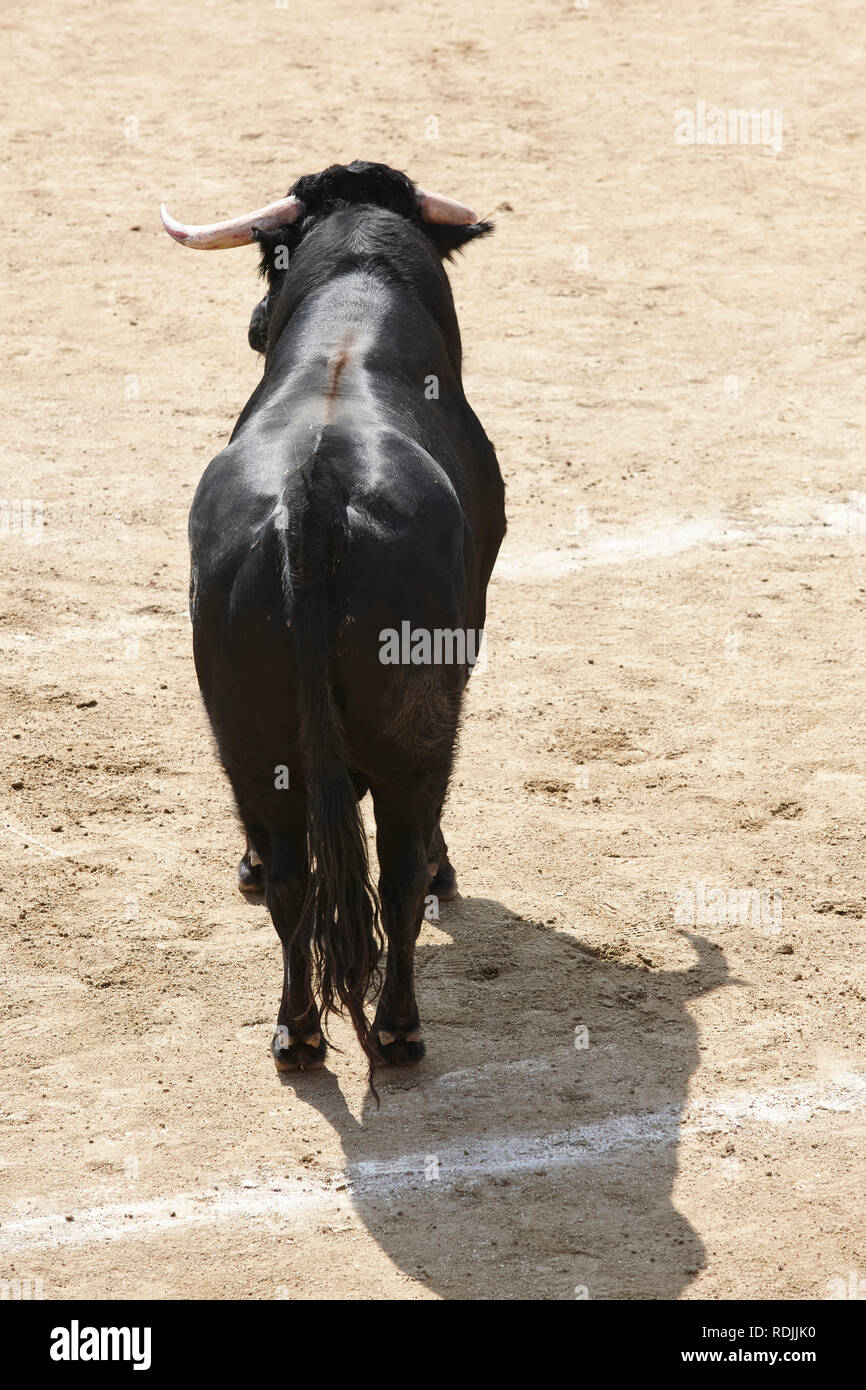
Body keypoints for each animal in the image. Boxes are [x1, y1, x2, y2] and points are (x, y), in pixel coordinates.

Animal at [161, 161, 506, 1081]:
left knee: (293, 874)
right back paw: (397, 1029)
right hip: (417, 731)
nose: (252, 324)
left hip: (248, 731)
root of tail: (314, 494)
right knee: (399, 869)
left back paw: (298, 1030)